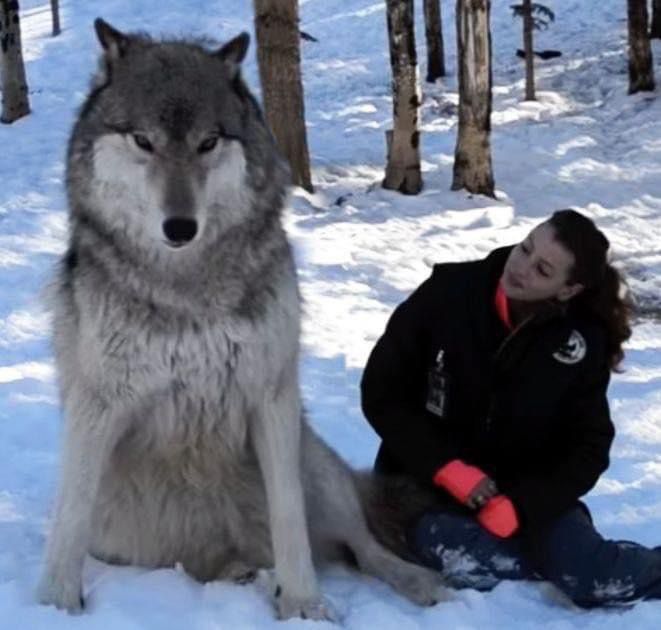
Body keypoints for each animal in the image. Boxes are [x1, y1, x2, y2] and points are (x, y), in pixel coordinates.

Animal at [36, 19, 448, 620]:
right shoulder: (98, 404)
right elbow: (67, 522)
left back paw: (416, 583)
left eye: (209, 143)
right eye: (143, 141)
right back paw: (240, 573)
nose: (180, 227)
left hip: (314, 461)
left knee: (364, 547)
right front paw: (55, 604)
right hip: (122, 533)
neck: (187, 288)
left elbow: (290, 520)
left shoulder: (270, 395)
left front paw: (304, 607)